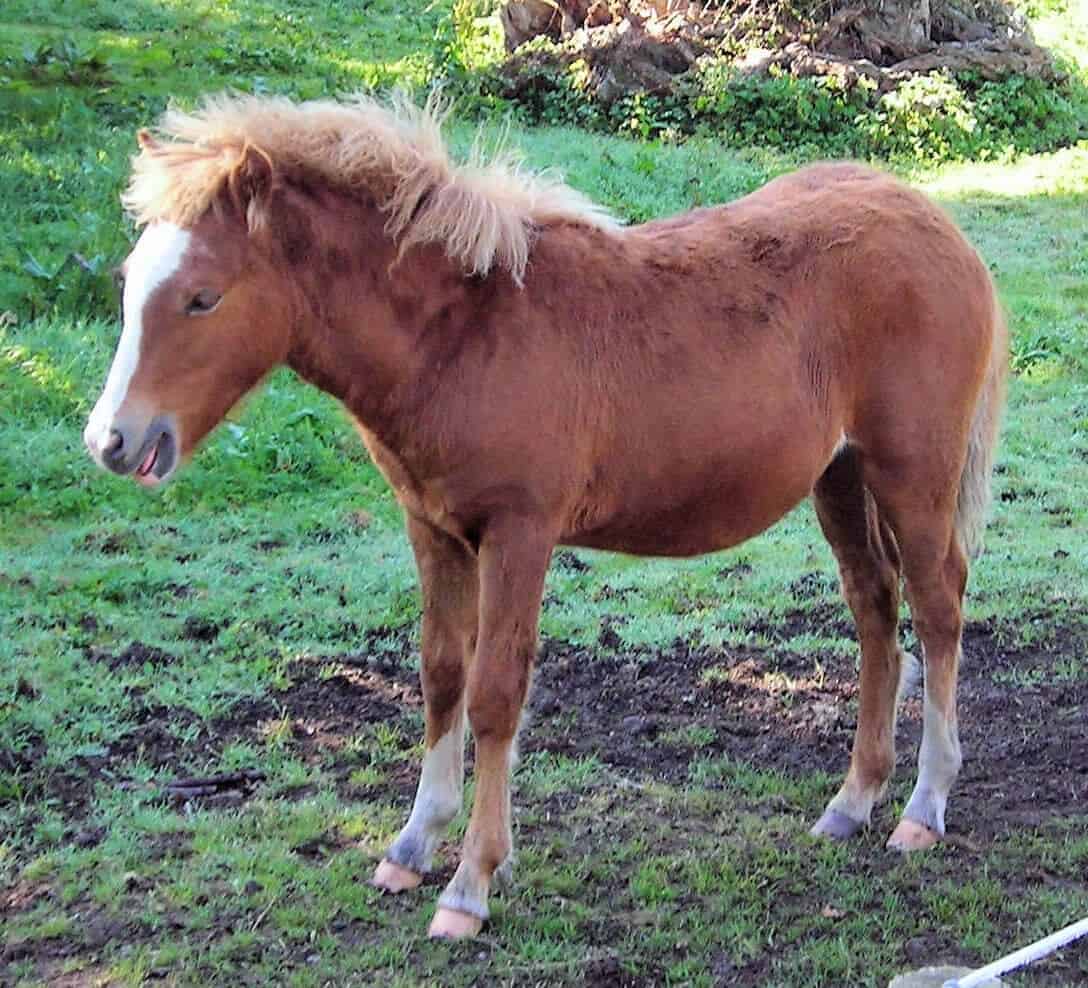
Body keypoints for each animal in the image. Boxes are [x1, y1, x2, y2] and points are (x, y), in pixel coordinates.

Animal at [84, 92, 1007, 939]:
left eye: (202, 298)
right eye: (129, 284)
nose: (112, 440)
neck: (463, 335)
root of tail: (940, 226)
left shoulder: (519, 532)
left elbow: (496, 693)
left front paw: (470, 885)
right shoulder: (433, 529)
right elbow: (440, 676)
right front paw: (411, 846)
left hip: (912, 473)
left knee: (938, 611)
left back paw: (921, 809)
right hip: (839, 478)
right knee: (875, 611)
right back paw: (852, 801)